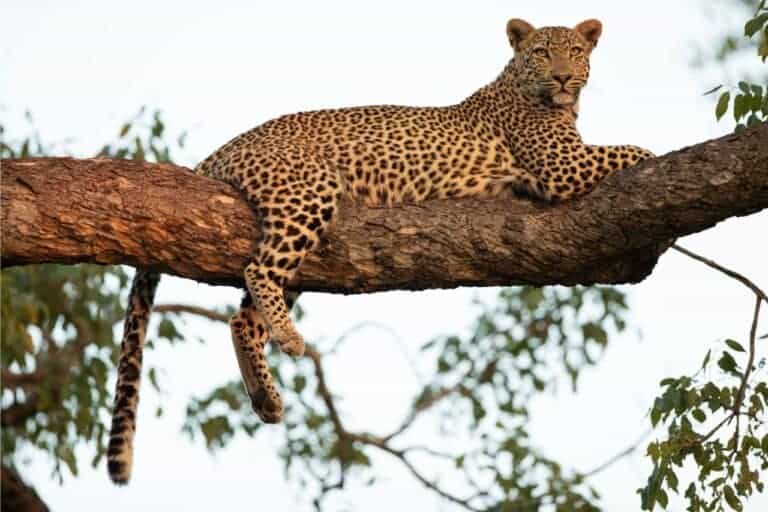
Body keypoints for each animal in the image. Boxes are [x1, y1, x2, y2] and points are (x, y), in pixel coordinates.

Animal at [106, 17, 655, 484]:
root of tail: (220, 151)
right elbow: (635, 150)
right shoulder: (563, 167)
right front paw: (656, 156)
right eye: (542, 52)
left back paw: (266, 396)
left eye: (576, 52)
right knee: (258, 270)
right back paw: (289, 339)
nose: (563, 77)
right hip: (308, 192)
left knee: (242, 316)